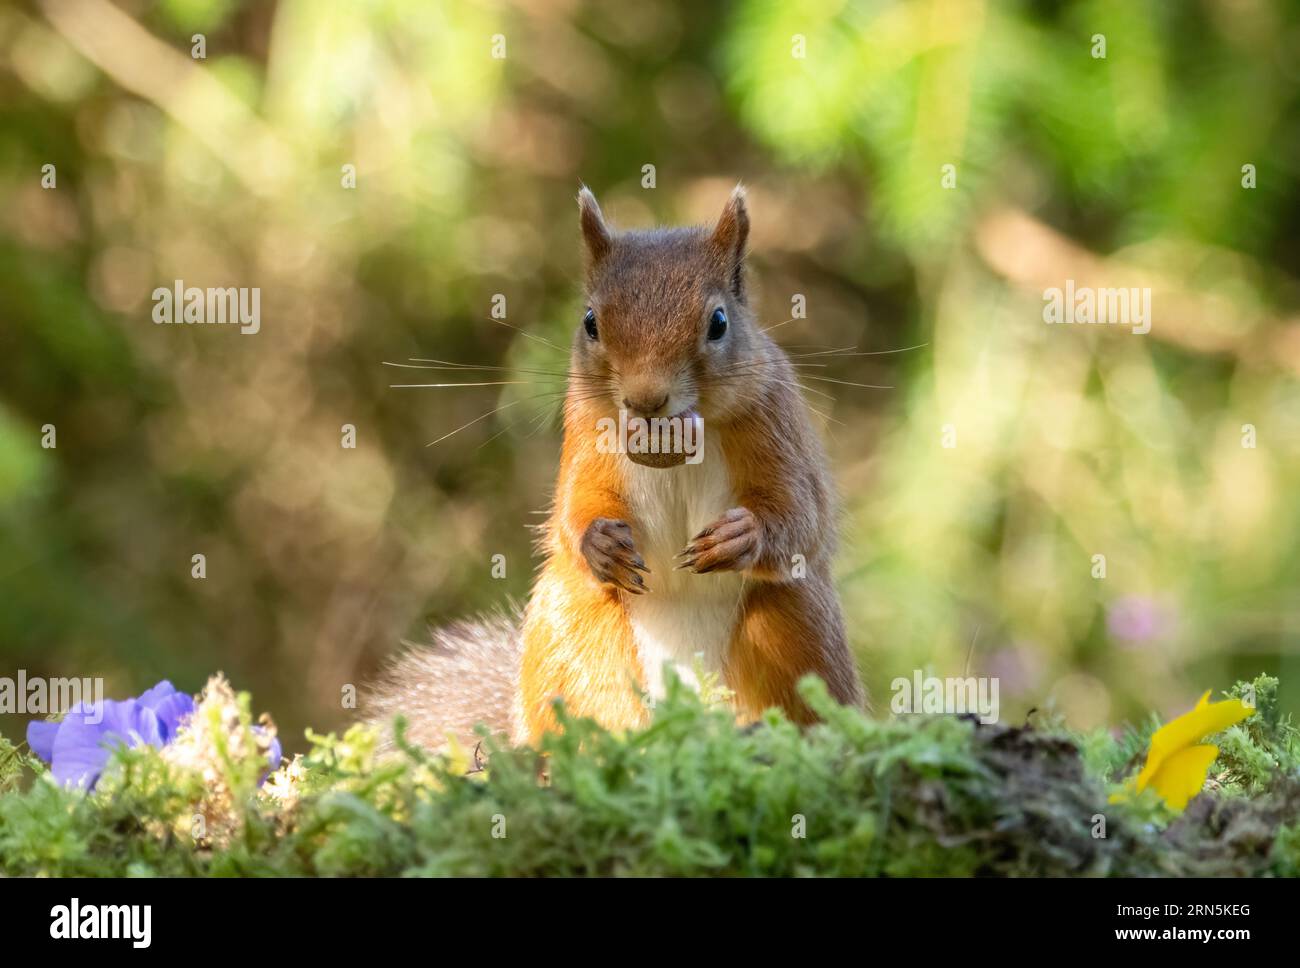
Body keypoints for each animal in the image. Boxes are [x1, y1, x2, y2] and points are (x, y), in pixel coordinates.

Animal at [367, 186, 865, 753]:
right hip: (569, 625)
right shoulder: (586, 426)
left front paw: (741, 536)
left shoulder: (773, 418)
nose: (646, 400)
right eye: (590, 322)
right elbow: (573, 506)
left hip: (797, 619)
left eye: (718, 323)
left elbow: (801, 512)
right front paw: (599, 541)